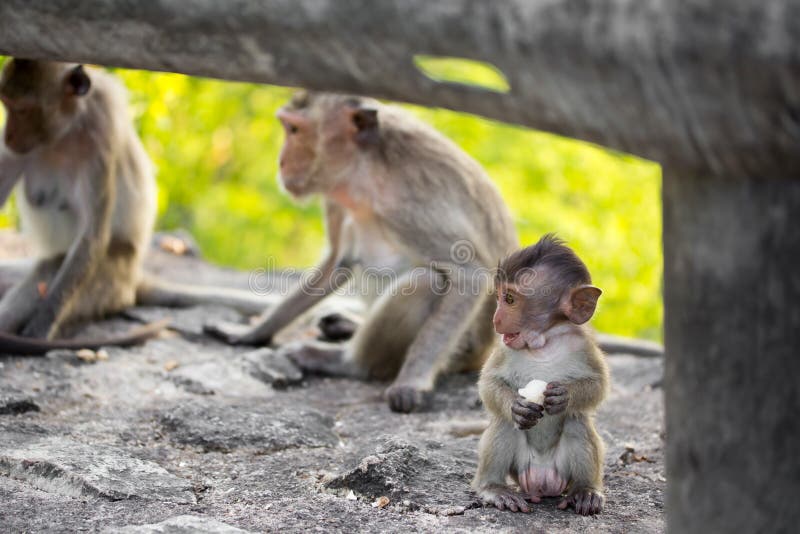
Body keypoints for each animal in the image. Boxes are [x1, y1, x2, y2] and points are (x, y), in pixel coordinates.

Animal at [0, 58, 274, 352]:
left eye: (22, 110)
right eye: (6, 104)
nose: (8, 137)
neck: (66, 132)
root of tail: (133, 280)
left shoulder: (101, 138)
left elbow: (92, 237)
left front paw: (41, 327)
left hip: (107, 282)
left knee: (50, 268)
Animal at [205, 91, 520, 413]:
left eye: (294, 130)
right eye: (286, 127)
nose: (281, 162)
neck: (366, 174)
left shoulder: (411, 205)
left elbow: (470, 274)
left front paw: (411, 381)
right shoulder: (335, 199)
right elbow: (336, 263)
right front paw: (252, 333)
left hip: (461, 349)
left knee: (425, 281)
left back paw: (345, 362)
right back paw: (345, 324)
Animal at [472, 234, 609, 516]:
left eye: (510, 299)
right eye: (499, 296)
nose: (496, 320)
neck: (543, 342)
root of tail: (542, 482)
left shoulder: (583, 342)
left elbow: (598, 384)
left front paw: (565, 396)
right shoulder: (504, 346)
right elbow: (489, 383)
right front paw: (517, 406)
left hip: (562, 472)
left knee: (577, 420)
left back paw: (586, 491)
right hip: (520, 468)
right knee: (504, 422)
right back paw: (493, 488)